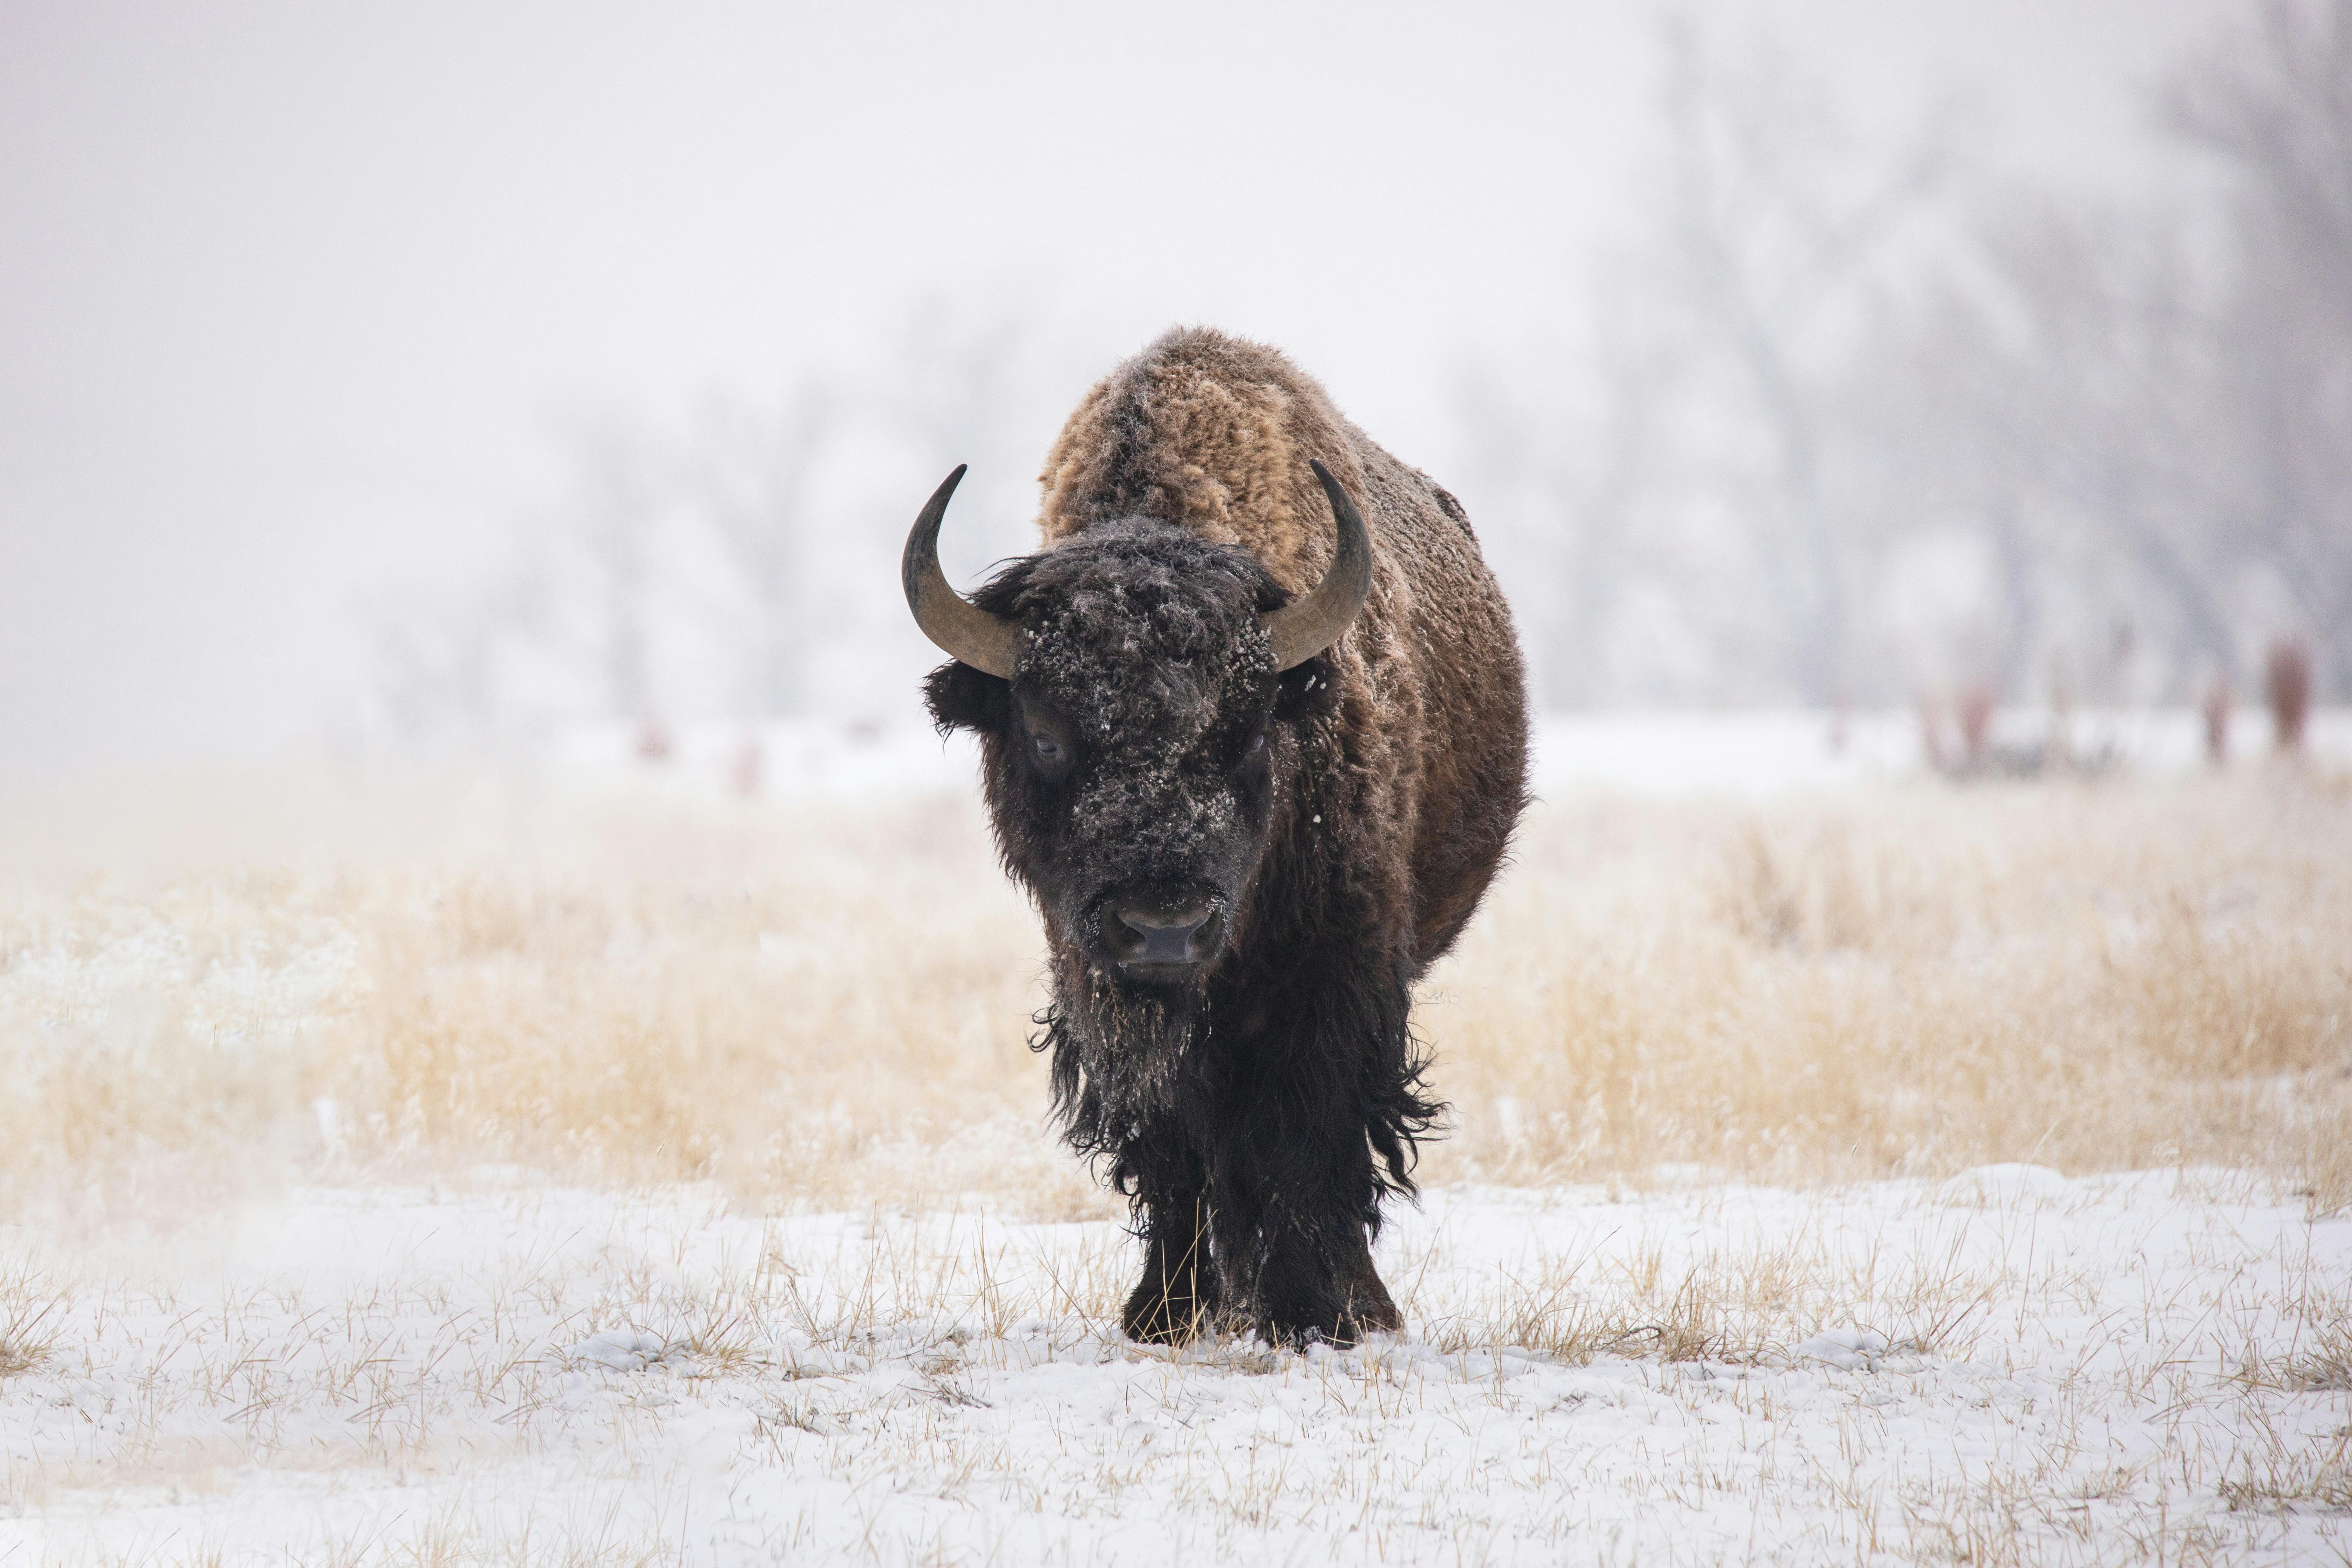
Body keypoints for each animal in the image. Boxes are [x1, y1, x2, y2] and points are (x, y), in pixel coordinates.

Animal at [906, 328, 1527, 1346]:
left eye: (1245, 733)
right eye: (1047, 735)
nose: (1164, 928)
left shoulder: (1338, 969)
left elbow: (1313, 1131)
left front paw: (1319, 1314)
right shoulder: (1096, 980)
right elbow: (1172, 1143)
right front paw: (1162, 1312)